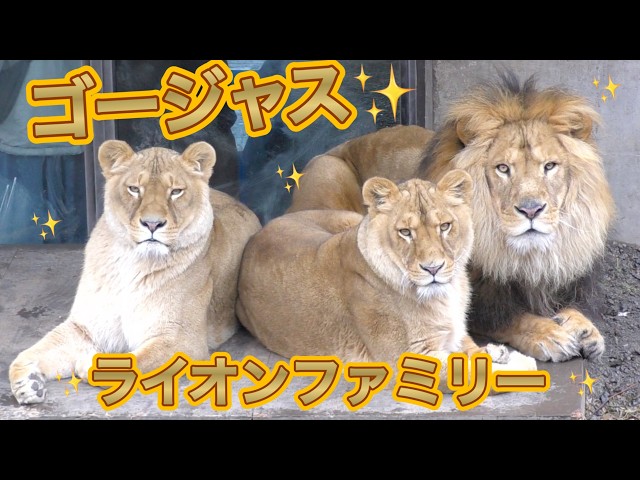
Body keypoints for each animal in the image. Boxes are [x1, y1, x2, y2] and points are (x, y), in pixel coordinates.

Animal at [9, 139, 262, 404]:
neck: (132, 262)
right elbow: (37, 350)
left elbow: (137, 360)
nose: (152, 223)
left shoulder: (183, 339)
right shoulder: (86, 327)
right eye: (134, 189)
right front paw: (27, 381)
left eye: (175, 191)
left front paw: (89, 364)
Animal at [236, 171, 537, 386]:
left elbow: (473, 352)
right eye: (405, 232)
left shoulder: (455, 333)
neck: (445, 294)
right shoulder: (406, 358)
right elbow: (471, 370)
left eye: (444, 226)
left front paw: (498, 354)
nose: (433, 269)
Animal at [286, 72, 616, 363]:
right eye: (503, 168)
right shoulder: (475, 301)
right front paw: (549, 335)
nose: (531, 210)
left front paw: (584, 328)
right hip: (330, 172)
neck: (525, 257)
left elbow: (573, 308)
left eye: (549, 166)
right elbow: (511, 318)